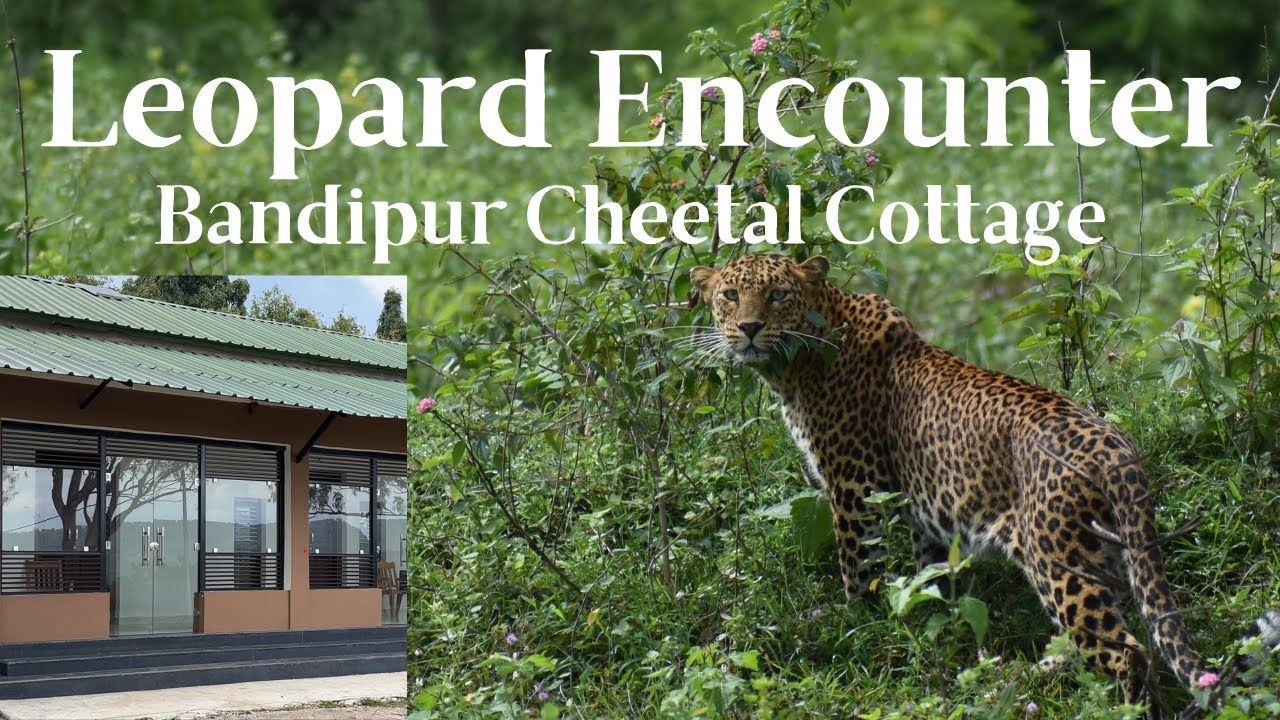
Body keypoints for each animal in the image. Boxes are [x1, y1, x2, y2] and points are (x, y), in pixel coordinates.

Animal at [689, 253, 1279, 716]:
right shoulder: (921, 512)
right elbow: (929, 575)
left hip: (1056, 560)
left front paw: (855, 628)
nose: (748, 328)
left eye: (778, 293)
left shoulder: (856, 490)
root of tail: (1114, 446)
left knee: (1124, 650)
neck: (799, 365)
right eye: (731, 295)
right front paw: (927, 619)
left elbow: (859, 572)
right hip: (1105, 555)